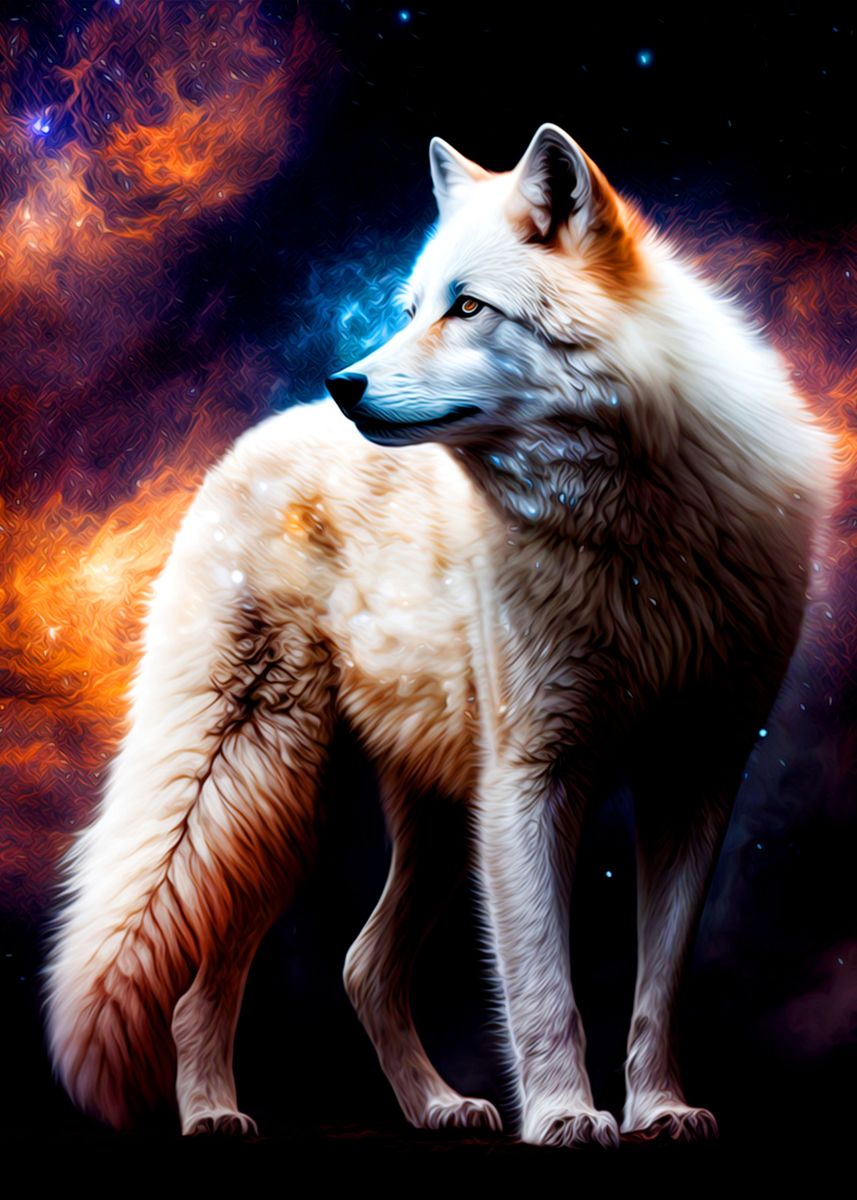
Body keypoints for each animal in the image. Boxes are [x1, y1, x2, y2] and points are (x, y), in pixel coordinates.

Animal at [41, 123, 840, 1148]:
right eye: (413, 307)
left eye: (468, 308)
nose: (345, 383)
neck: (637, 543)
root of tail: (246, 444)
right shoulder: (533, 778)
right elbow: (542, 986)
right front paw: (564, 1115)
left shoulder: (692, 777)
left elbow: (657, 985)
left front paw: (657, 1108)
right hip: (274, 797)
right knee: (201, 980)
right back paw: (214, 1112)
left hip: (425, 823)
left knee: (359, 964)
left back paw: (433, 1106)